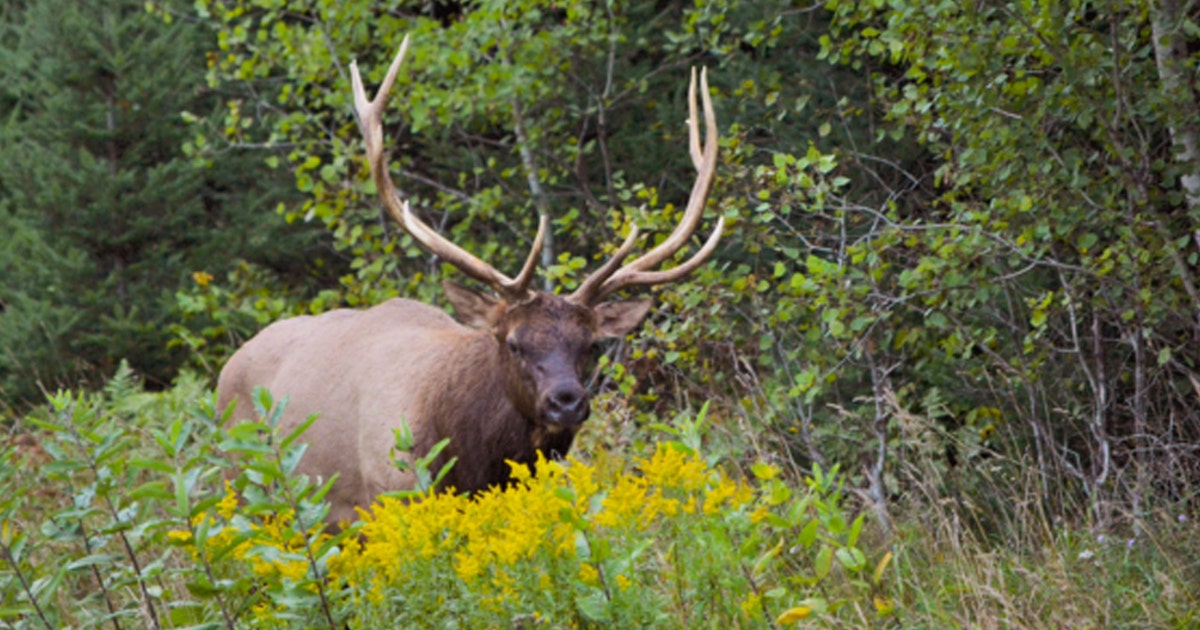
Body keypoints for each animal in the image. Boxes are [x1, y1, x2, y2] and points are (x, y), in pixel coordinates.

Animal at [216, 36, 723, 528]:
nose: (567, 402)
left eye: (592, 344)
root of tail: (227, 368)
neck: (475, 460)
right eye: (514, 342)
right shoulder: (389, 492)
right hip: (244, 487)